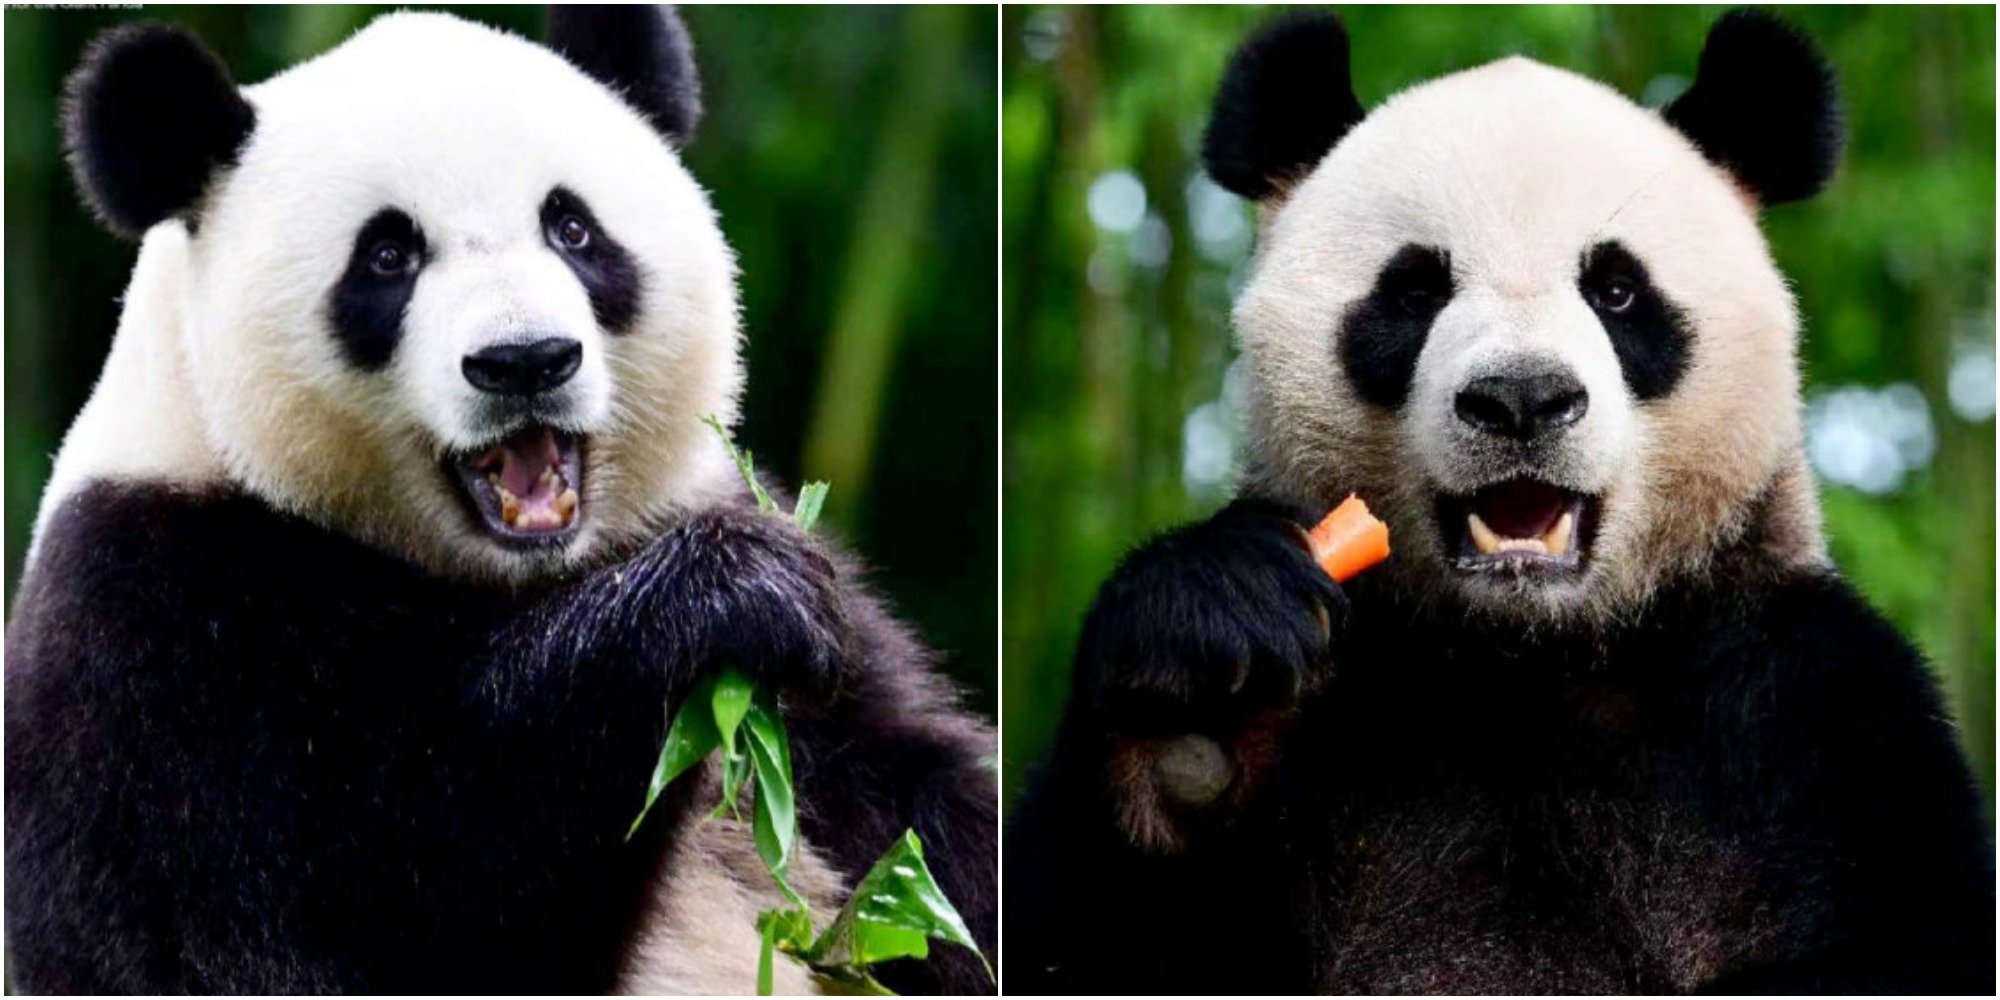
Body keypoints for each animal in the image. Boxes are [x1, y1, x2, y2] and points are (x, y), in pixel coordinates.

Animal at [4, 7, 994, 994]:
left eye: (572, 228)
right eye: (388, 255)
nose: (525, 360)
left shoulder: (827, 686)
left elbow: (925, 820)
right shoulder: (158, 635)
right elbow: (411, 893)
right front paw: (732, 596)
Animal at [1007, 9, 1993, 994]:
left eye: (1617, 289)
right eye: (1414, 289)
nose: (1522, 398)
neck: (1523, 659)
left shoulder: (1807, 715)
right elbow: (1066, 927)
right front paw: (1196, 702)